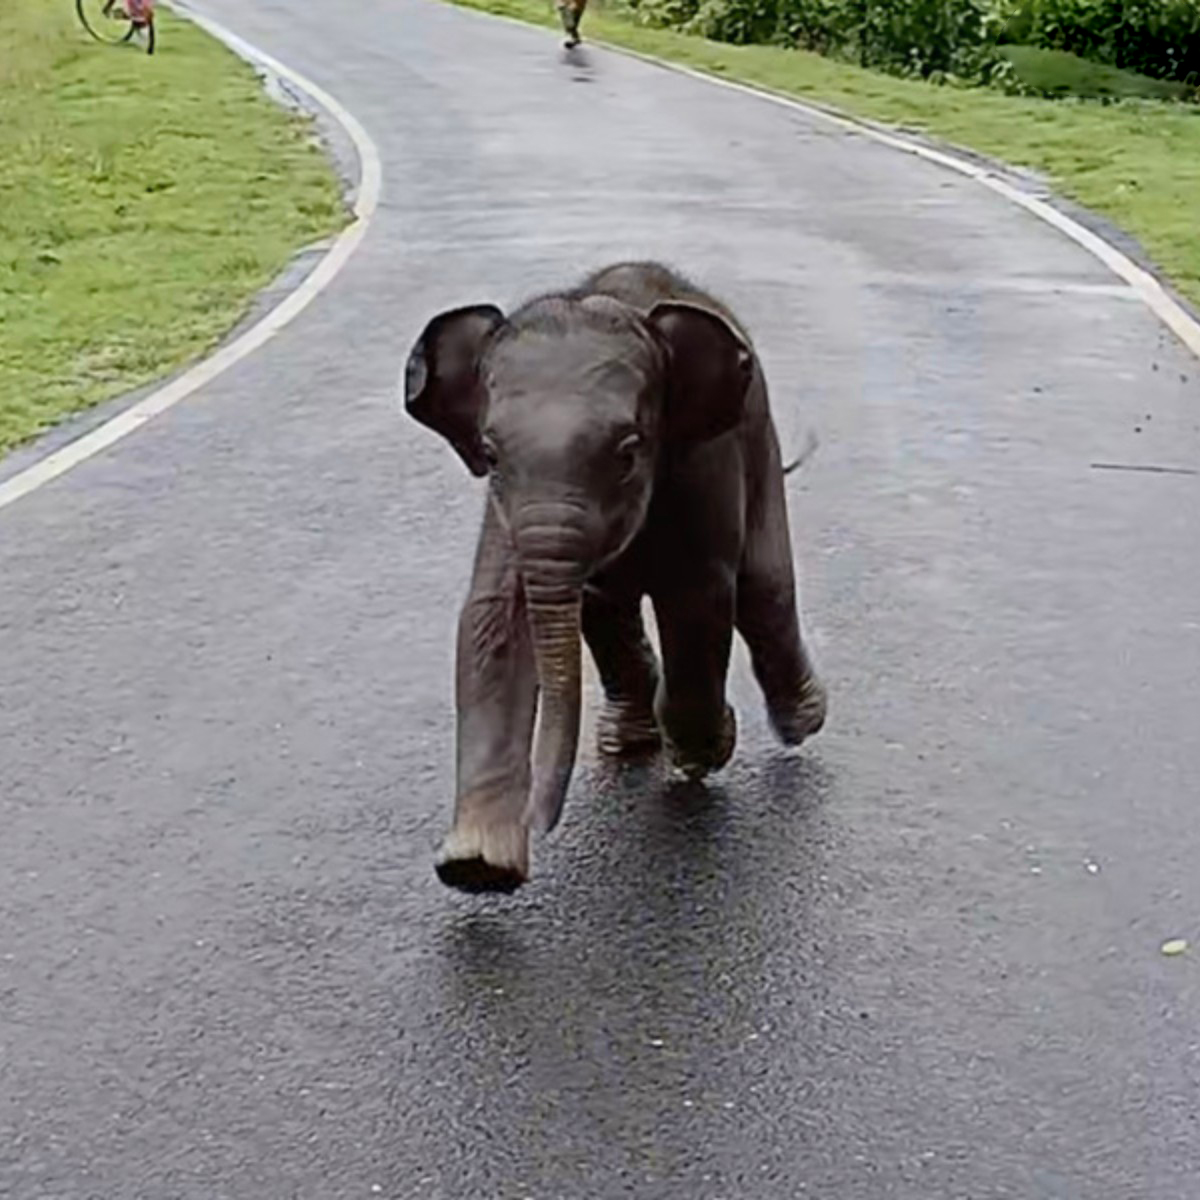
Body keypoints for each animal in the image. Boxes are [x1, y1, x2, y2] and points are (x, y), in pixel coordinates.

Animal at [404, 262, 827, 893]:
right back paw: (626, 742)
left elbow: (698, 596)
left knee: (762, 588)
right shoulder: (505, 510)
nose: (539, 822)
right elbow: (491, 618)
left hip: (758, 436)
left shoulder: (704, 459)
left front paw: (702, 754)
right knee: (606, 608)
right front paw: (477, 868)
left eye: (629, 452)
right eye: (490, 453)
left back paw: (800, 721)